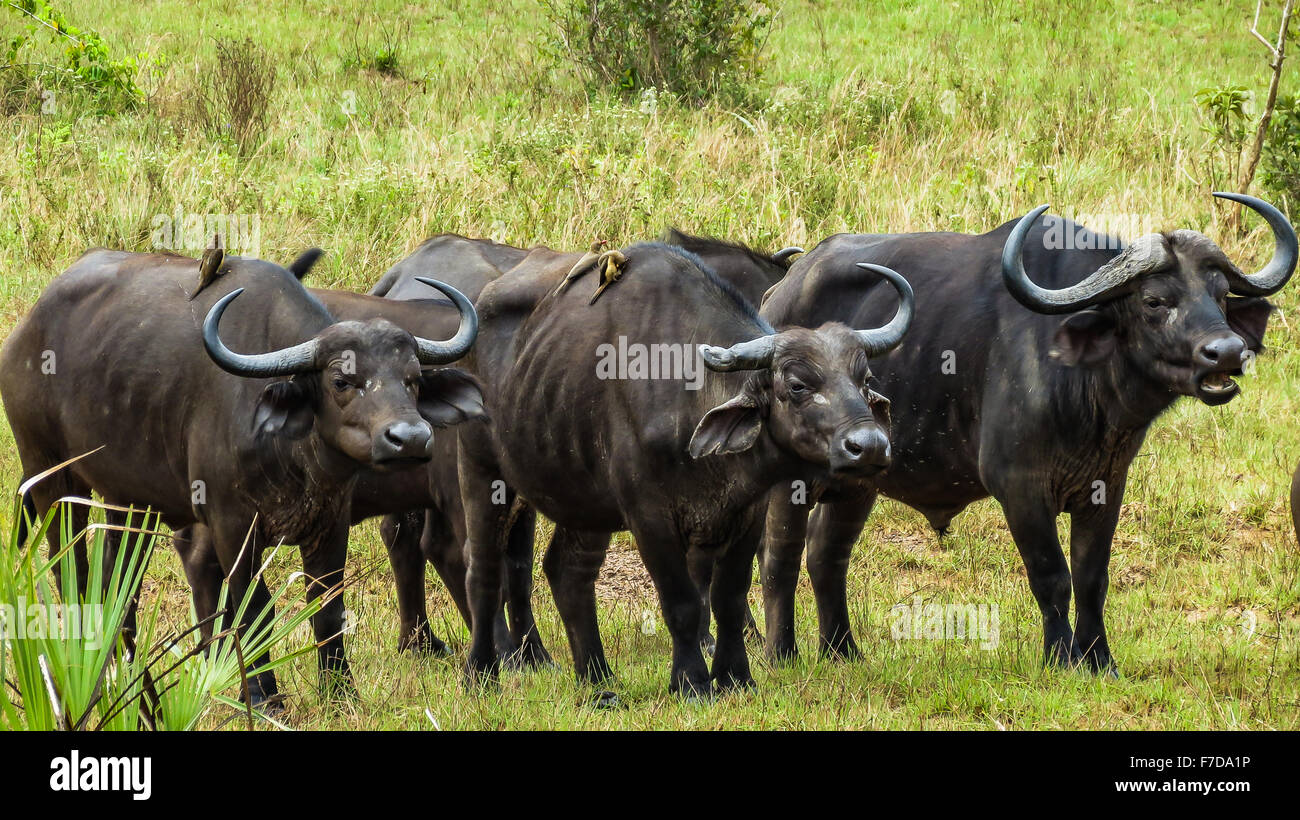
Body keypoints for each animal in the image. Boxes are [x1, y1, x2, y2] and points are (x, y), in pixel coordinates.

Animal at [758, 192, 1295, 673]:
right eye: (1155, 301)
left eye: (1220, 295)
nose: (1227, 352)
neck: (1089, 397)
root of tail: (777, 295)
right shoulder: (1019, 487)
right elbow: (1051, 575)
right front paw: (1060, 658)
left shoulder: (1107, 486)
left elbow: (1092, 576)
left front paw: (1100, 660)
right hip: (792, 481)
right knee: (779, 556)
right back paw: (783, 657)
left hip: (859, 481)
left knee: (827, 553)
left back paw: (843, 652)